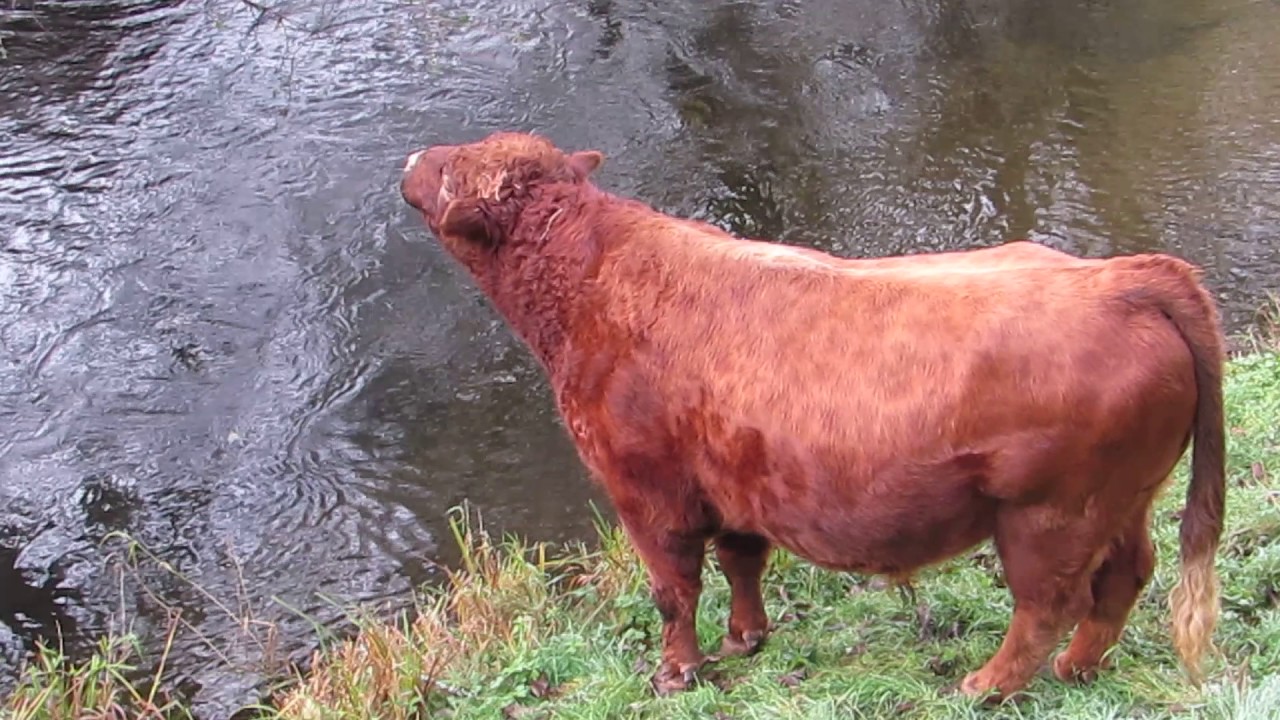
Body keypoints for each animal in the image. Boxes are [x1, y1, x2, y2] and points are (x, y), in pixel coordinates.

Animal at [398, 131, 1226, 700]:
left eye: (450, 171)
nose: (413, 156)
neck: (592, 283)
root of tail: (1124, 276)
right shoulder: (733, 486)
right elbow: (742, 562)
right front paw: (746, 639)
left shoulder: (648, 495)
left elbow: (673, 591)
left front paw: (676, 672)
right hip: (1120, 501)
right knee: (1126, 575)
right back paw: (1076, 668)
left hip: (1050, 515)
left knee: (1049, 602)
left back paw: (989, 685)